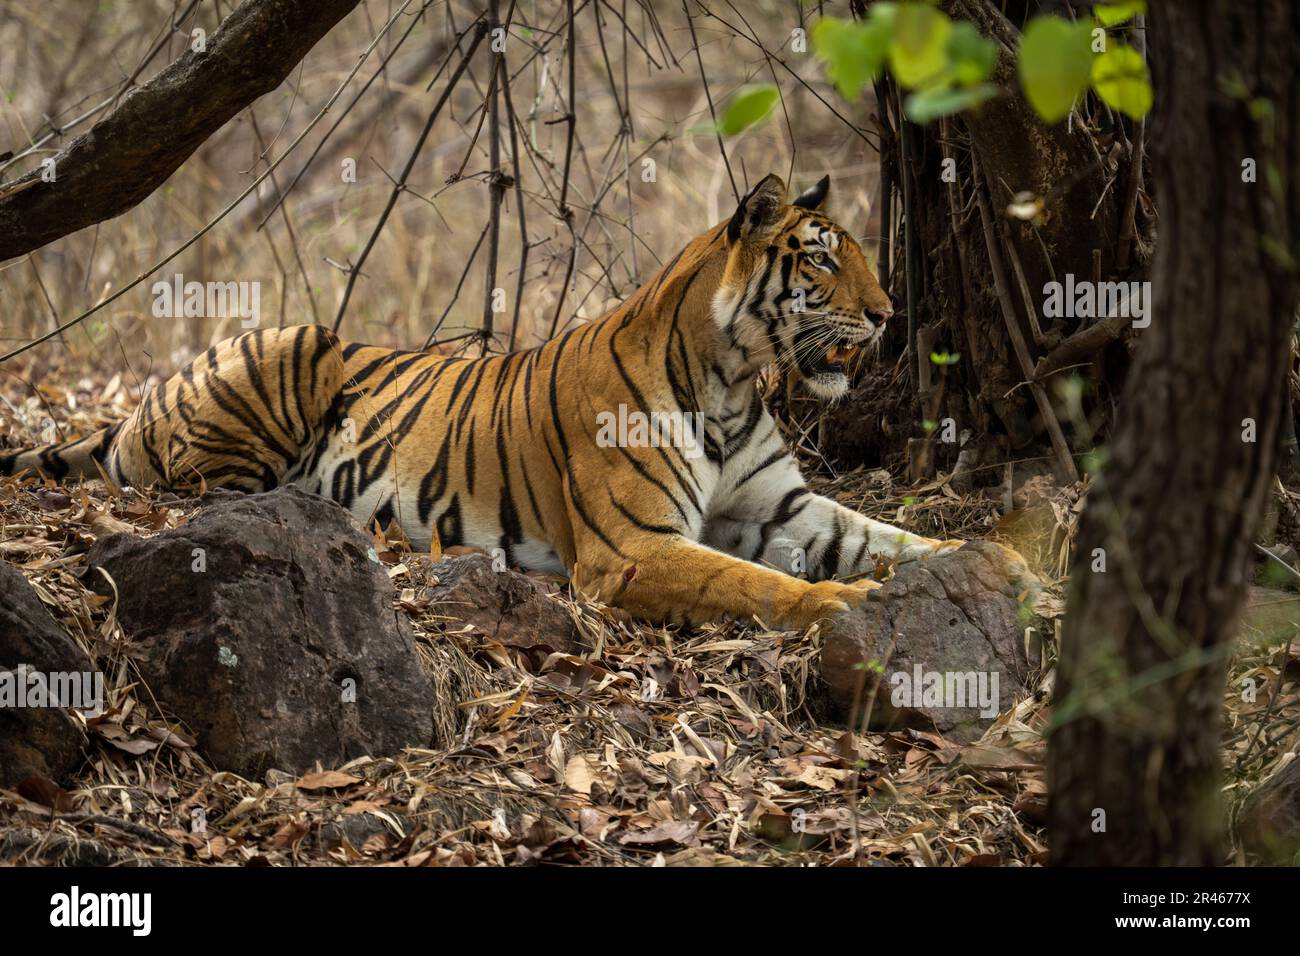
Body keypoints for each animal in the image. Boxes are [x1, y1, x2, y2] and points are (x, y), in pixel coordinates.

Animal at [1, 173, 1031, 630]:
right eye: (821, 259)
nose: (890, 313)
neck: (736, 384)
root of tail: (146, 397)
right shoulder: (632, 548)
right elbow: (761, 583)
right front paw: (846, 603)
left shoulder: (787, 504)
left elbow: (889, 535)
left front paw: (1002, 566)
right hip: (280, 356)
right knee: (186, 487)